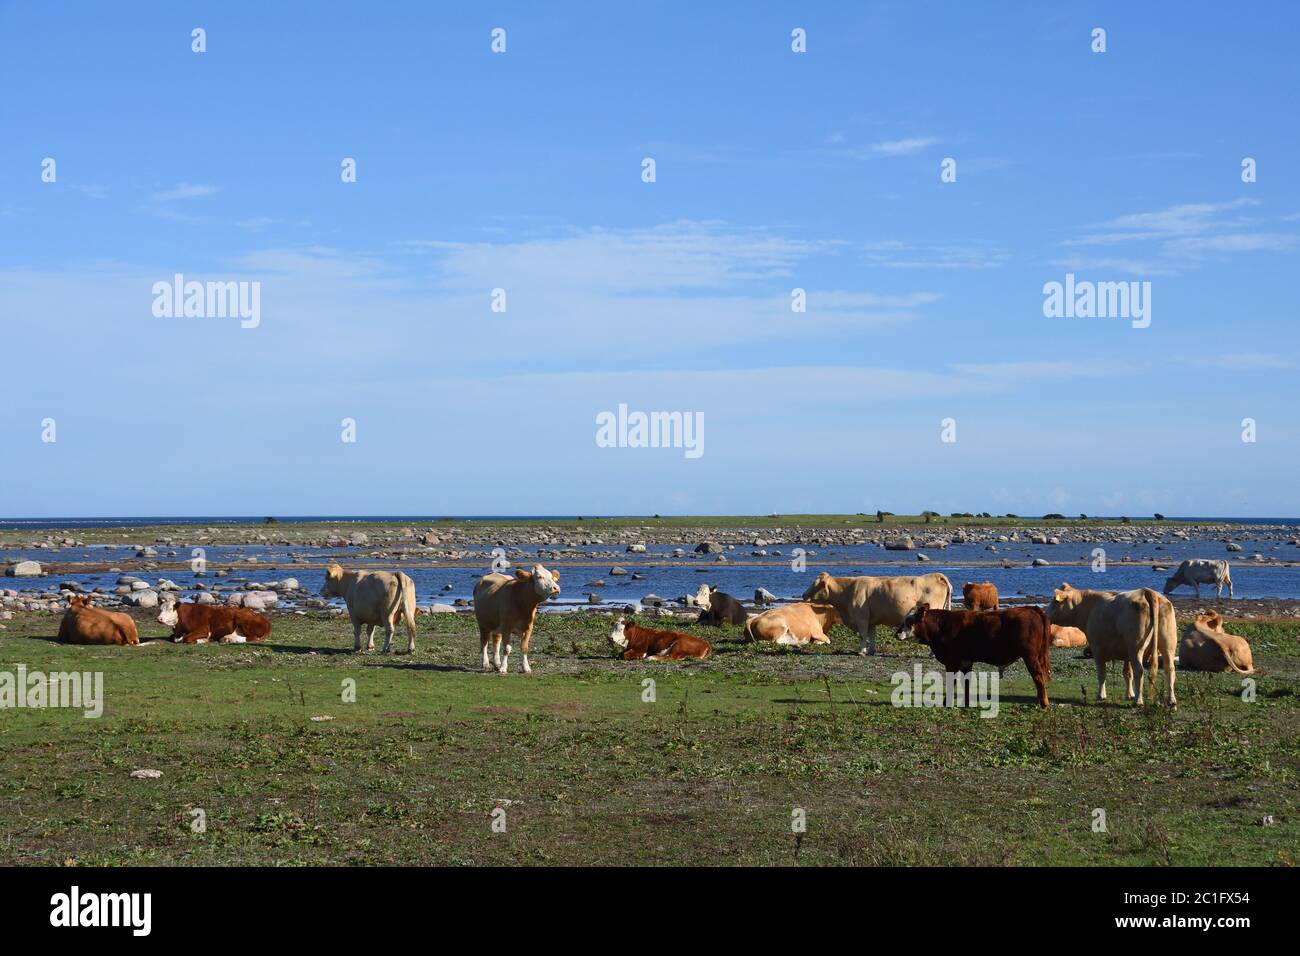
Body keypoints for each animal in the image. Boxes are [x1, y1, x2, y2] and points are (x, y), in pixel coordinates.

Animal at [802, 571, 952, 655]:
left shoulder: (861, 618)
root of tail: (938, 576)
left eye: (816, 584)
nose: (803, 595)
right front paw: (871, 651)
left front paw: (861, 652)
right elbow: (871, 635)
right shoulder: (871, 621)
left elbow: (862, 635)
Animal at [897, 605, 1052, 708]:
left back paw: (1044, 704)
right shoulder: (966, 662)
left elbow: (951, 682)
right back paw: (1038, 701)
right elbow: (965, 682)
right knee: (1040, 678)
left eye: (909, 621)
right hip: (1037, 656)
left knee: (1038, 677)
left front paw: (946, 703)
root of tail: (1030, 608)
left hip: (1030, 656)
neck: (942, 625)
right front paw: (965, 704)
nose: (896, 633)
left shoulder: (951, 662)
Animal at [1046, 583, 1177, 706]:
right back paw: (1171, 701)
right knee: (1169, 668)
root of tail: (1146, 591)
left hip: (1136, 646)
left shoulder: (1097, 648)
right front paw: (1130, 695)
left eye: (1055, 601)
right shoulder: (1126, 653)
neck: (1088, 607)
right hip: (1167, 644)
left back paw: (1138, 701)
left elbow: (1101, 673)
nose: (1045, 614)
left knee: (1139, 670)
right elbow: (1127, 673)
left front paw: (1101, 696)